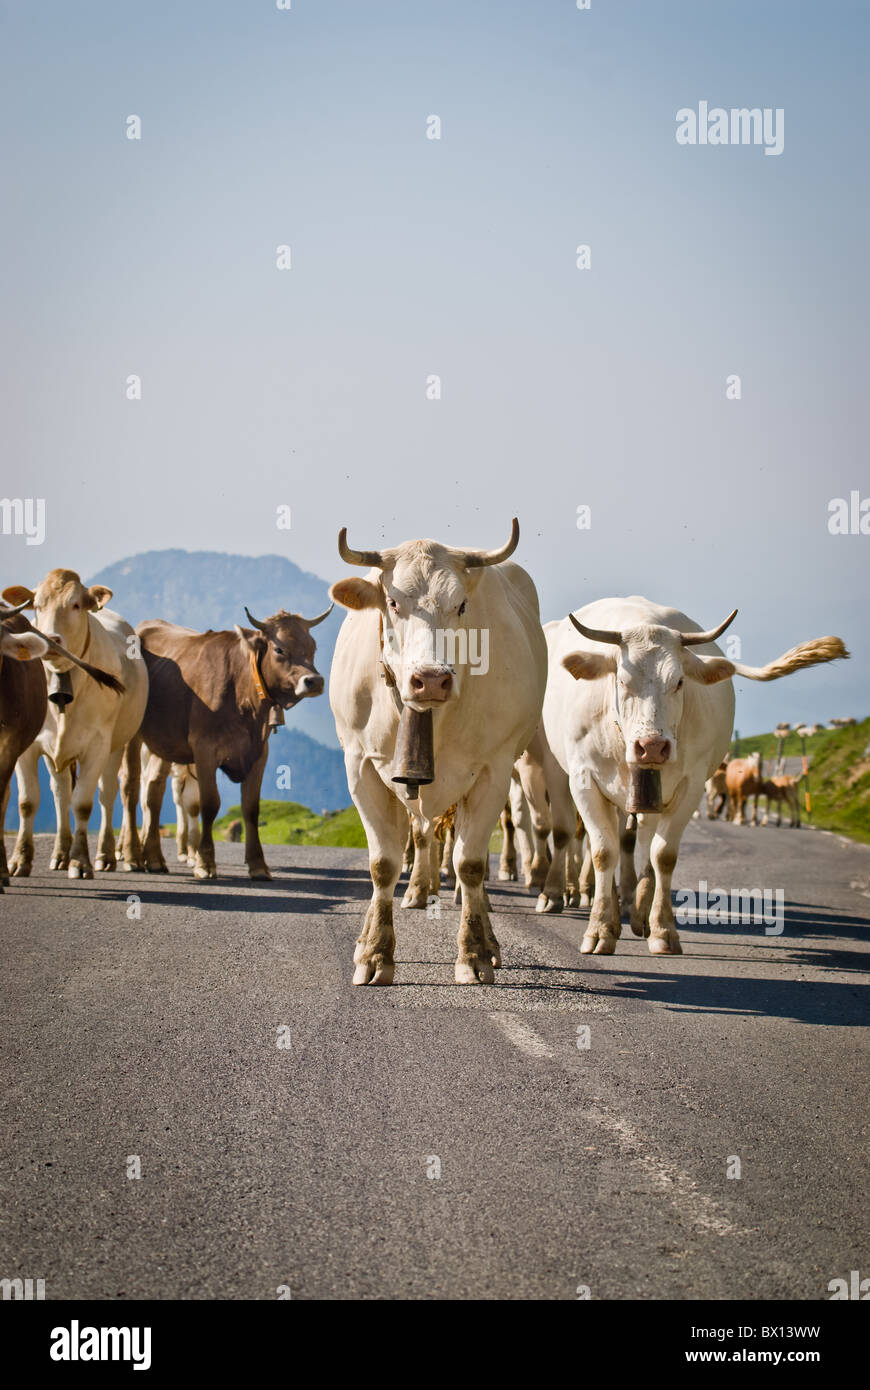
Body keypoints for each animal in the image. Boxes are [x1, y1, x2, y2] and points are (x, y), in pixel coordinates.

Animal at [3, 572, 147, 879]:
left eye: (76, 605)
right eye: (36, 605)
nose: (51, 638)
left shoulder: (97, 746)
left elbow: (83, 804)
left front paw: (80, 861)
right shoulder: (27, 747)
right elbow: (28, 802)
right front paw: (20, 860)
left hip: (117, 746)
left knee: (106, 795)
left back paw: (105, 854)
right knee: (61, 794)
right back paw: (59, 854)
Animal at [132, 604, 332, 880]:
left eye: (312, 646)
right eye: (279, 649)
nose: (314, 681)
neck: (242, 693)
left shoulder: (258, 753)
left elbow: (251, 808)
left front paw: (258, 865)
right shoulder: (204, 750)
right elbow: (209, 804)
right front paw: (205, 862)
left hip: (162, 745)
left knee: (153, 794)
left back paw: (153, 859)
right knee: (132, 791)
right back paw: (129, 857)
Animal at [328, 518, 546, 985]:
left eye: (461, 605)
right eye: (393, 602)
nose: (430, 679)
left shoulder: (493, 770)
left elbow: (470, 864)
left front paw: (475, 953)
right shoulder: (361, 767)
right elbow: (383, 862)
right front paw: (374, 952)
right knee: (417, 837)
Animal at [541, 596, 847, 955]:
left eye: (679, 682)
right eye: (622, 681)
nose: (652, 746)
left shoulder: (690, 787)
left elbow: (663, 855)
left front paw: (662, 929)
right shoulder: (584, 780)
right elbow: (604, 851)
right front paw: (601, 928)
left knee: (642, 843)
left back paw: (637, 905)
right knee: (582, 836)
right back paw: (562, 895)